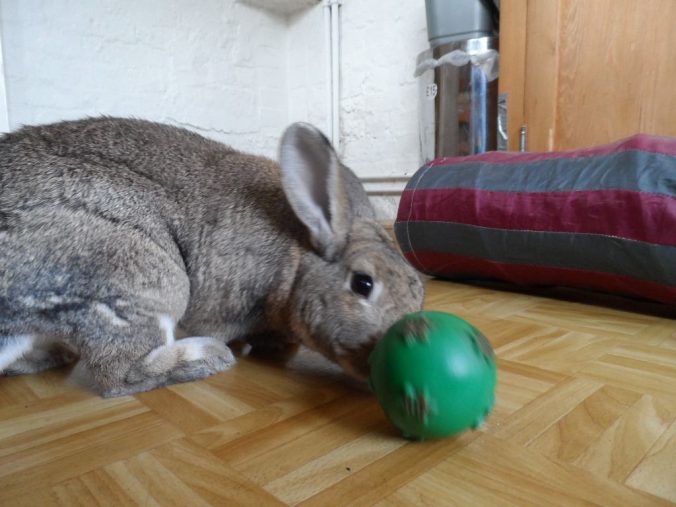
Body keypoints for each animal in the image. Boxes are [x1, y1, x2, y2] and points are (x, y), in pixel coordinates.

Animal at [0, 117, 424, 397]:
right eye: (363, 284)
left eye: (419, 290)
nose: (406, 345)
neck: (296, 257)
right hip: (145, 275)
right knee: (119, 375)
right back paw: (210, 356)